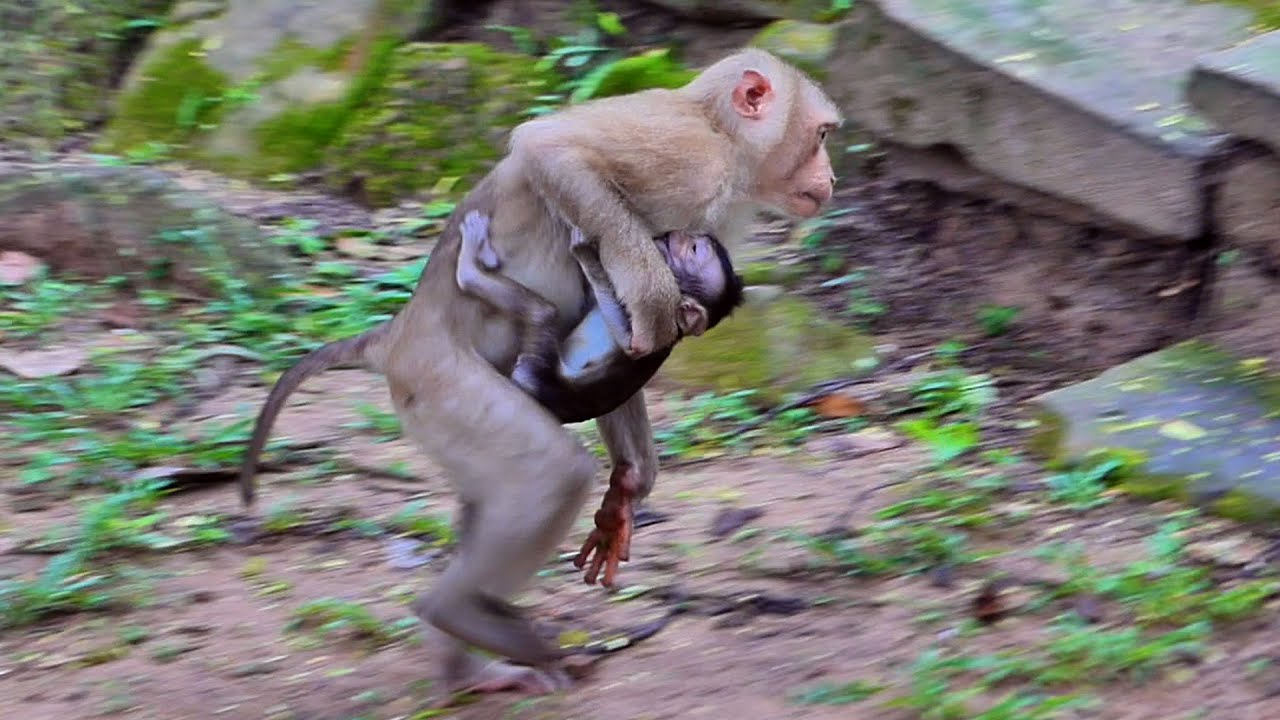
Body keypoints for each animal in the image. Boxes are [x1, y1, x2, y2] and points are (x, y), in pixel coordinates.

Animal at [454, 209, 745, 425]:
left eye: (694, 249)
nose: (679, 233)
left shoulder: (660, 315)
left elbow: (634, 344)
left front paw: (585, 251)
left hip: (534, 374)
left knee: (543, 313)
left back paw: (469, 267)